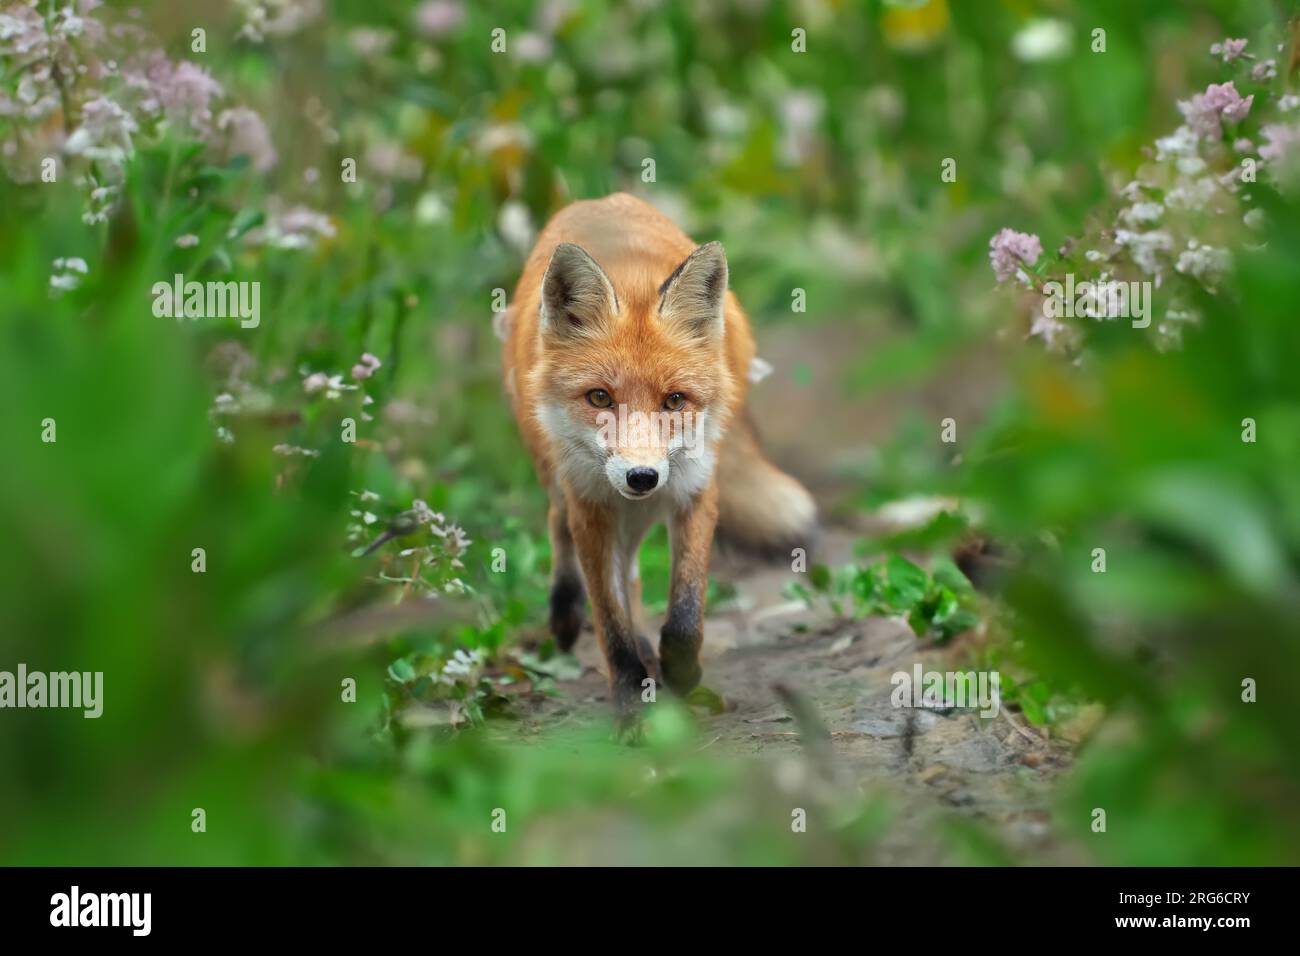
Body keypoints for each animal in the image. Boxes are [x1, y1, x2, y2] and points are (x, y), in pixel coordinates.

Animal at [502, 192, 817, 729]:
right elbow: (610, 622)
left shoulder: (694, 490)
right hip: (563, 475)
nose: (642, 476)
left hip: (646, 504)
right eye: (600, 397)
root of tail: (599, 200)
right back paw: (566, 613)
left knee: (629, 571)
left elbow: (686, 611)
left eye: (674, 401)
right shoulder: (590, 503)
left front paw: (681, 672)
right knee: (561, 526)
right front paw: (631, 703)